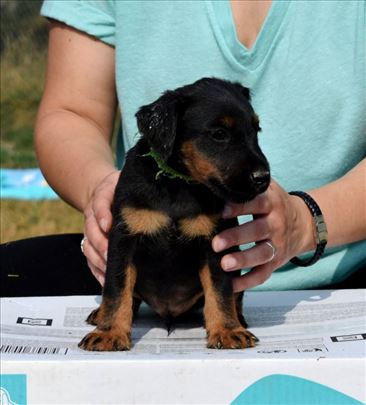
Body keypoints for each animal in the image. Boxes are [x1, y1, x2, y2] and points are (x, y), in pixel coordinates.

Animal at [78, 77, 270, 348]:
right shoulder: (123, 242)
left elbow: (220, 291)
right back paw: (100, 315)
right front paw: (109, 333)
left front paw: (227, 330)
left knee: (235, 295)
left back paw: (239, 320)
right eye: (219, 134)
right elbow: (116, 290)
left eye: (256, 130)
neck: (178, 183)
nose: (263, 179)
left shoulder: (216, 246)